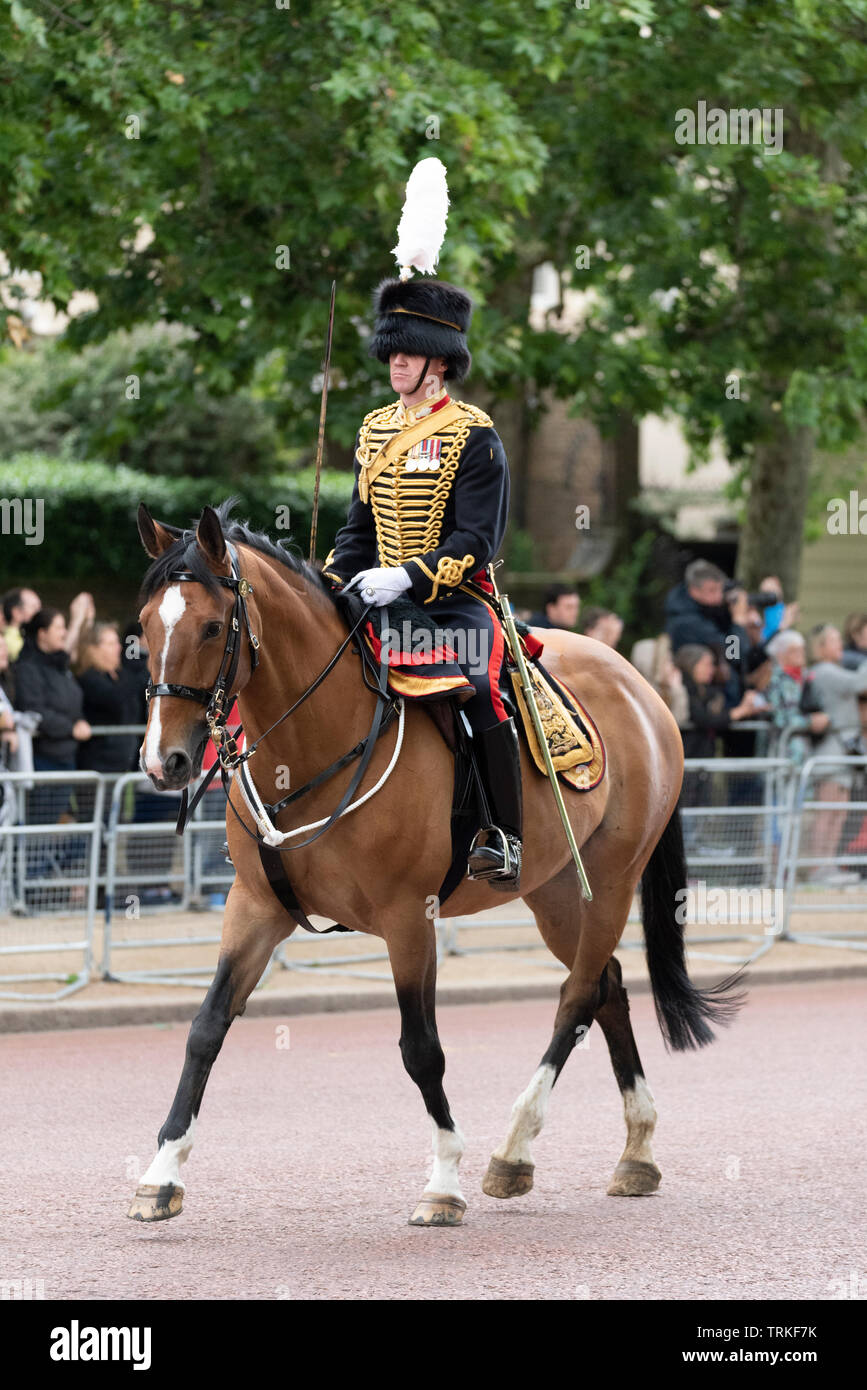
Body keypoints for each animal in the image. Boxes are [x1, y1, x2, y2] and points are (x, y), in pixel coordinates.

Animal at [128, 501, 742, 1227]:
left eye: (211, 626)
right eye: (144, 626)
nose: (163, 761)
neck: (316, 744)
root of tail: (639, 683)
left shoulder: (407, 917)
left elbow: (421, 1049)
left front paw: (444, 1179)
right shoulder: (256, 906)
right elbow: (205, 1028)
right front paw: (162, 1172)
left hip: (610, 882)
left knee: (577, 996)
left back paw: (512, 1149)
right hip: (558, 890)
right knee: (607, 985)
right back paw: (634, 1151)